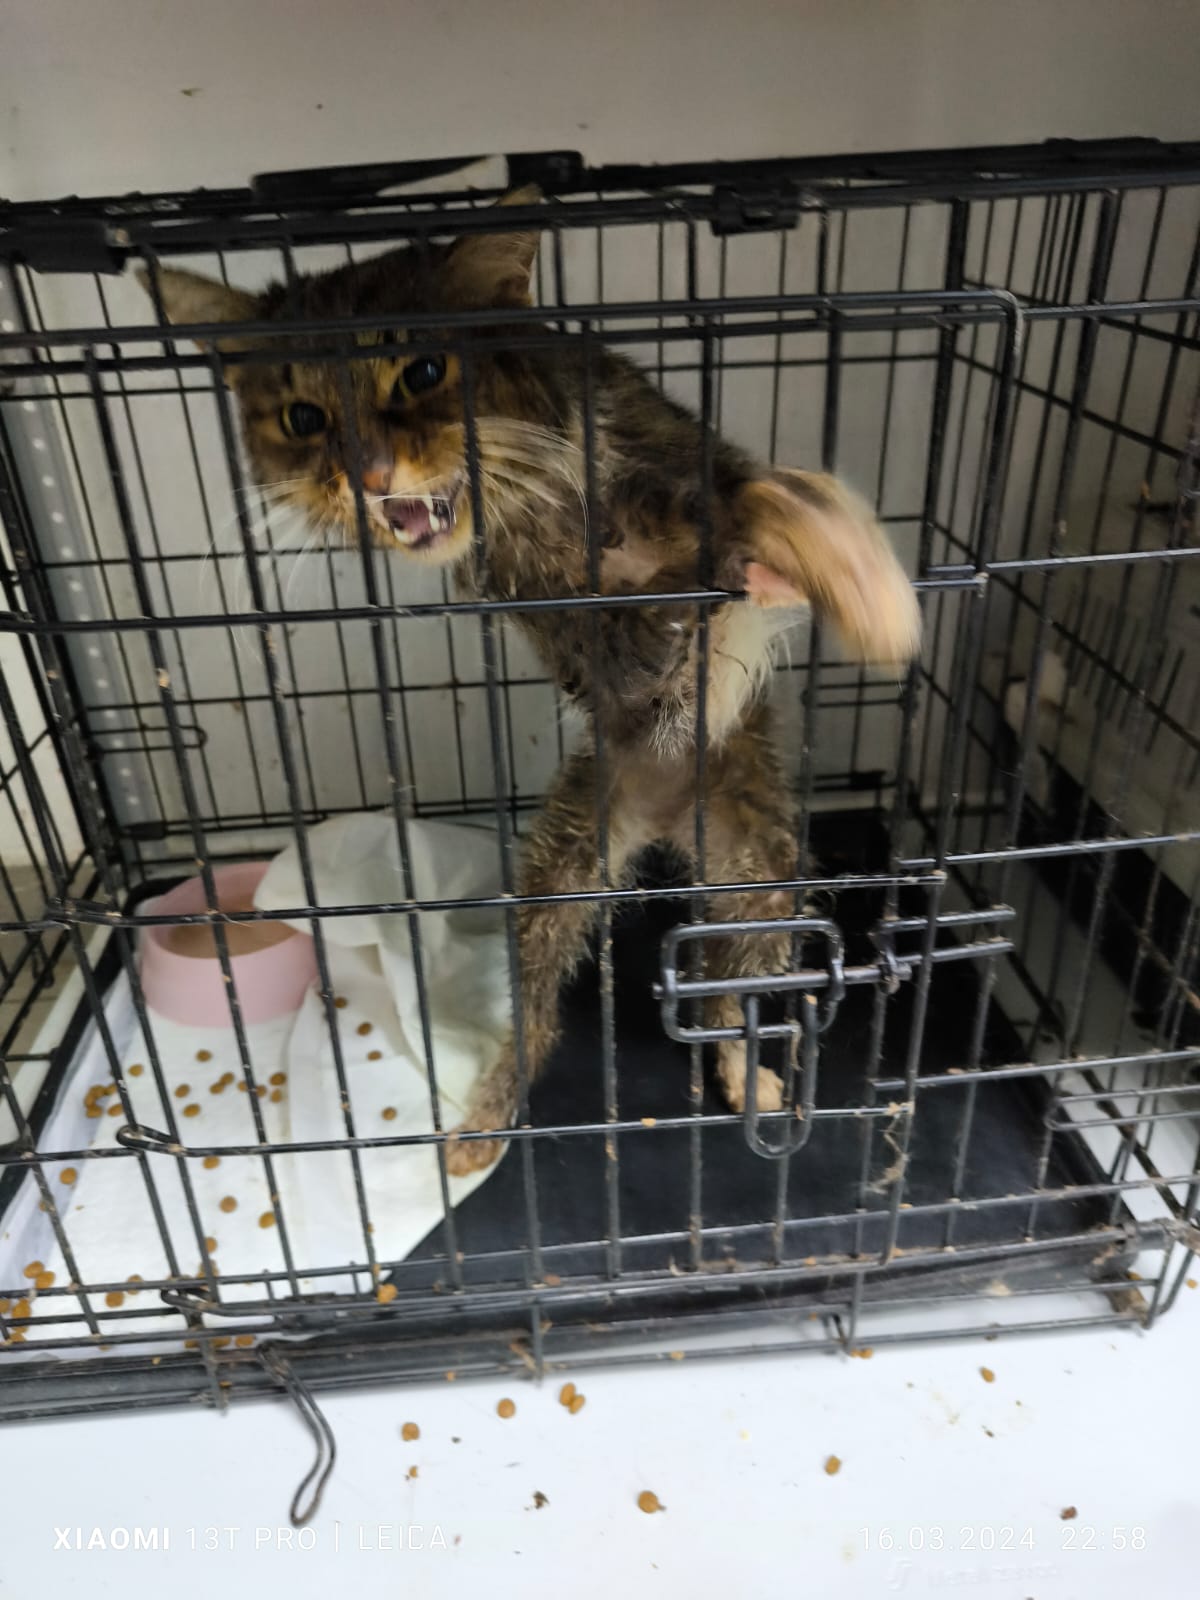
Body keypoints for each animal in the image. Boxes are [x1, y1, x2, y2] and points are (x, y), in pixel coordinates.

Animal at [139, 189, 920, 1175]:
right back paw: (486, 1118)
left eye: (423, 370)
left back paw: (743, 1071)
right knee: (541, 1010)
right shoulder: (582, 633)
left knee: (723, 992)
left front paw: (855, 578)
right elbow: (659, 612)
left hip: (762, 877)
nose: (366, 470)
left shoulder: (695, 461)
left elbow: (763, 497)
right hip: (565, 867)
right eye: (303, 419)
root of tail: (669, 816)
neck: (545, 497)